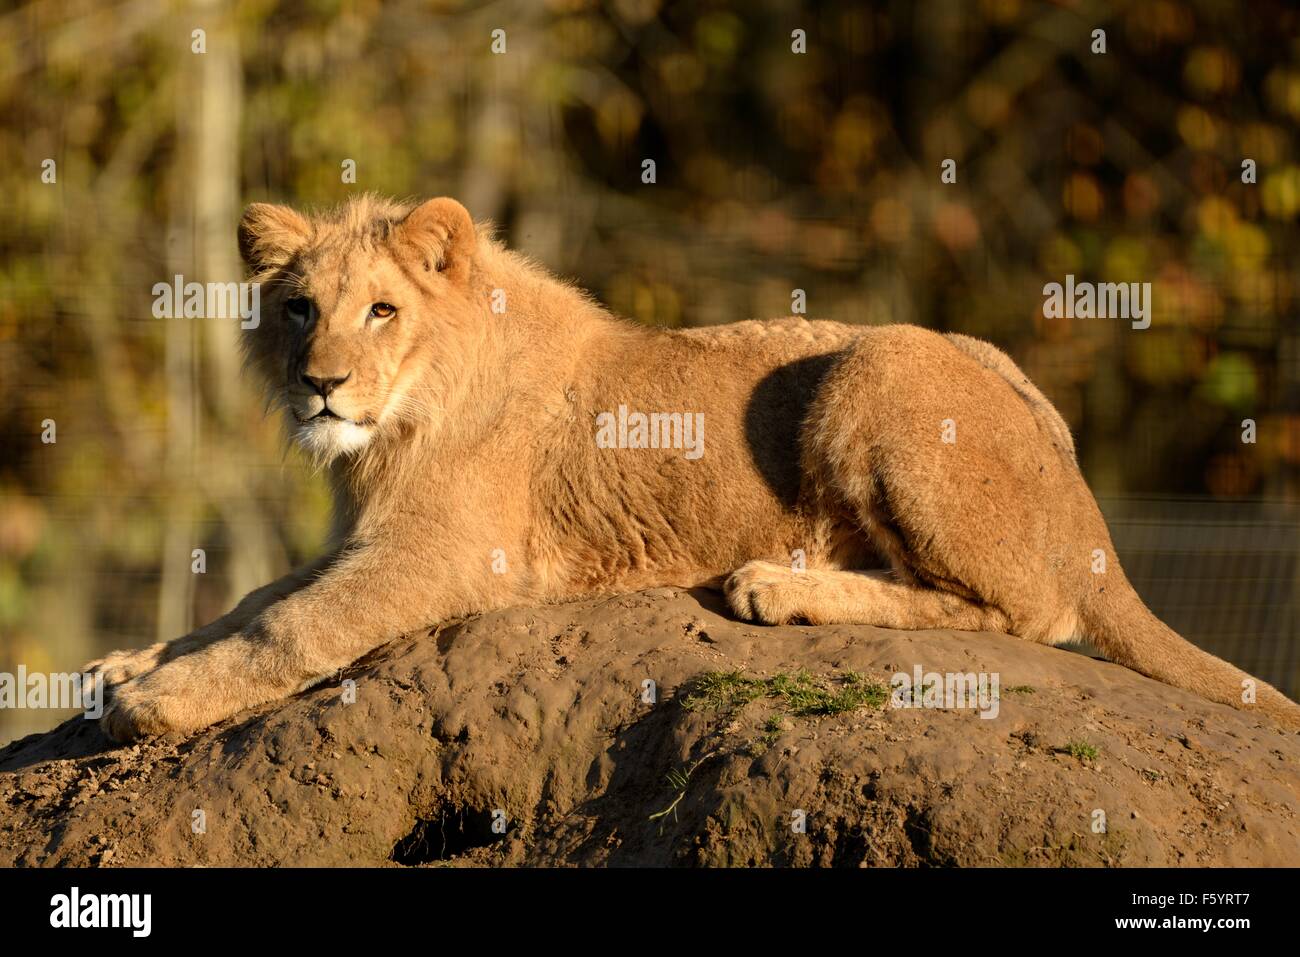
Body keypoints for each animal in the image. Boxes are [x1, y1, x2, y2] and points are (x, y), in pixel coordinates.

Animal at [86, 193, 1300, 739]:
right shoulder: (367, 538)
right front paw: (127, 661)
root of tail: (1090, 516)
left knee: (1017, 614)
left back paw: (775, 584)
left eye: (380, 310)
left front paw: (157, 701)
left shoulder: (445, 558)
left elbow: (295, 625)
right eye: (298, 309)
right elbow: (252, 597)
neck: (394, 425)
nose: (321, 384)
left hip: (879, 363)